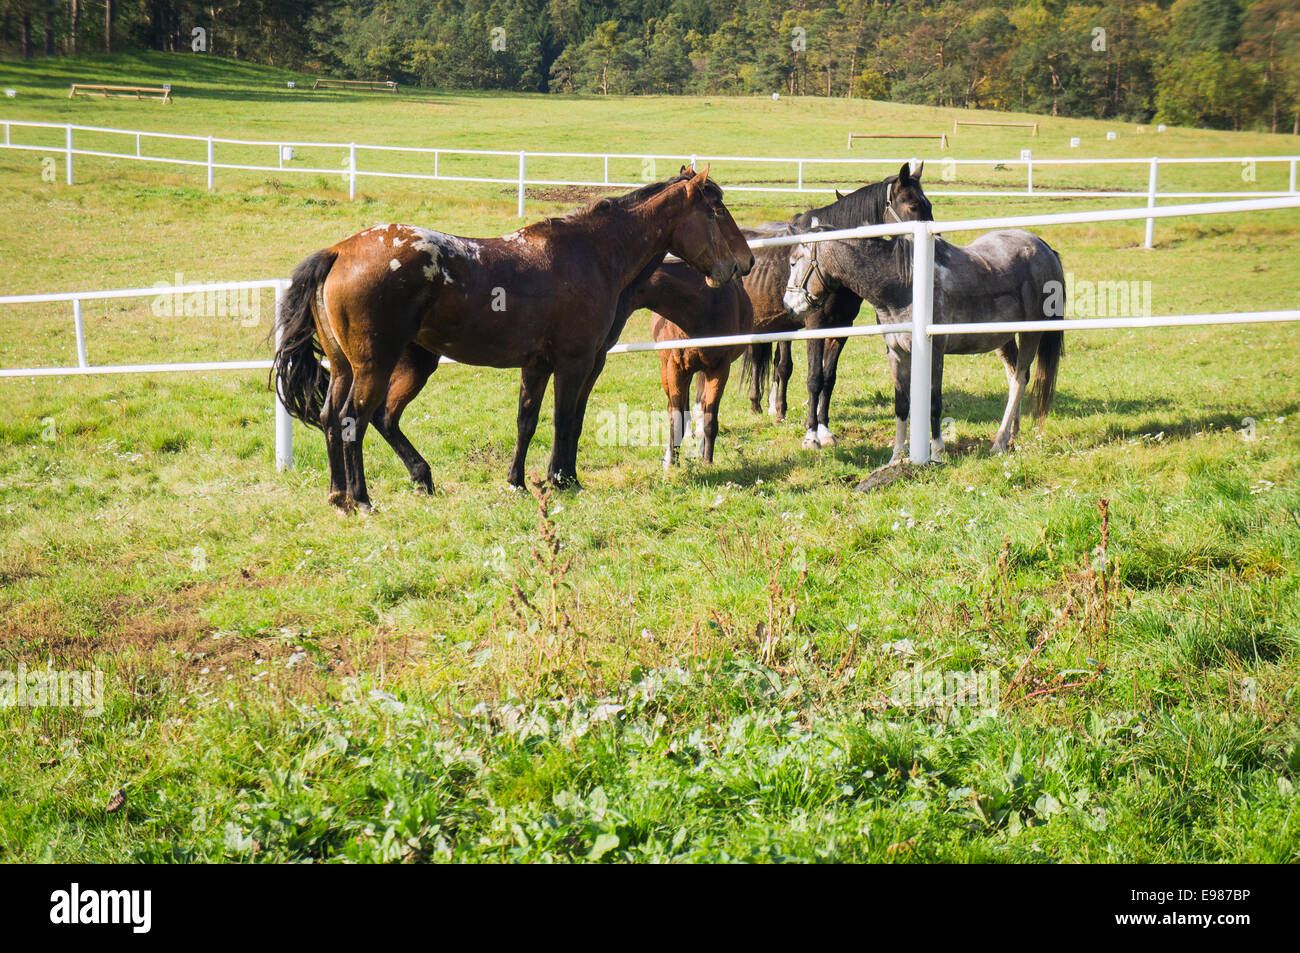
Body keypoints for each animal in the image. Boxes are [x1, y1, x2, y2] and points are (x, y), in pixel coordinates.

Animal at [620, 260, 753, 467]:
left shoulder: (719, 369)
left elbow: (709, 419)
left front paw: (707, 462)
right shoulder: (676, 368)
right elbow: (676, 417)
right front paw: (672, 463)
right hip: (668, 370)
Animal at [742, 162, 933, 450]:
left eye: (928, 203)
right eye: (912, 205)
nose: (937, 239)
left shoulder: (842, 328)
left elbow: (828, 379)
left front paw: (825, 430)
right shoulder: (815, 325)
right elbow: (814, 378)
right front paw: (811, 435)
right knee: (757, 358)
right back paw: (755, 405)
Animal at [783, 228, 1064, 462]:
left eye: (794, 262)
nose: (788, 306)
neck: (902, 284)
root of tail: (1043, 248)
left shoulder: (935, 351)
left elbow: (934, 402)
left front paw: (937, 452)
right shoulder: (896, 354)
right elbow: (901, 405)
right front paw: (897, 456)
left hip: (1031, 334)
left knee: (1018, 380)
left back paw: (999, 442)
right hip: (1004, 338)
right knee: (1015, 375)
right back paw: (1011, 435)